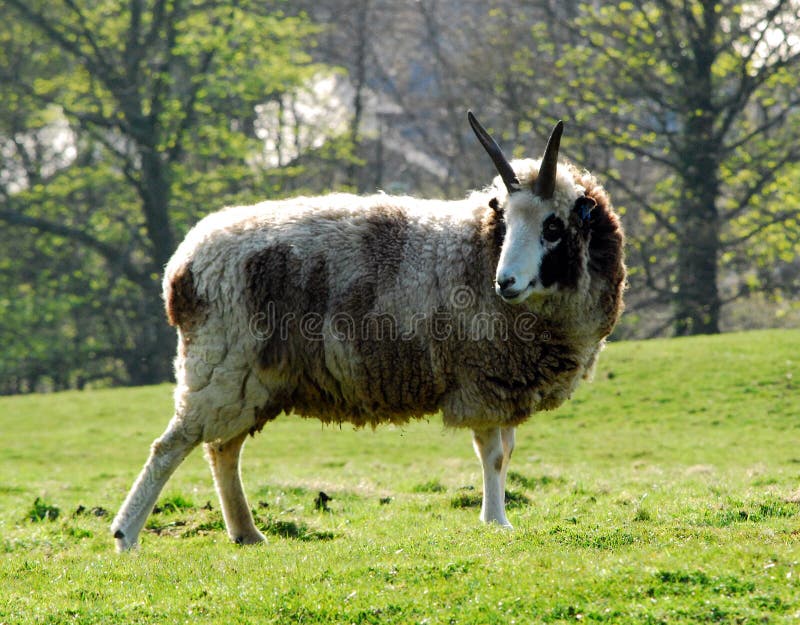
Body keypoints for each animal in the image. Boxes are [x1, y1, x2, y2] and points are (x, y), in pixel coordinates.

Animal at [111, 112, 625, 551]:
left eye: (553, 227)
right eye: (505, 219)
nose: (506, 282)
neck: (479, 247)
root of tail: (181, 267)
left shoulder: (504, 380)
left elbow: (508, 452)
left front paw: (496, 517)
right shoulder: (481, 377)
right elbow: (494, 454)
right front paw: (495, 521)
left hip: (248, 379)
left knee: (222, 449)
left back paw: (246, 533)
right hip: (219, 361)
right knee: (171, 446)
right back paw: (126, 534)